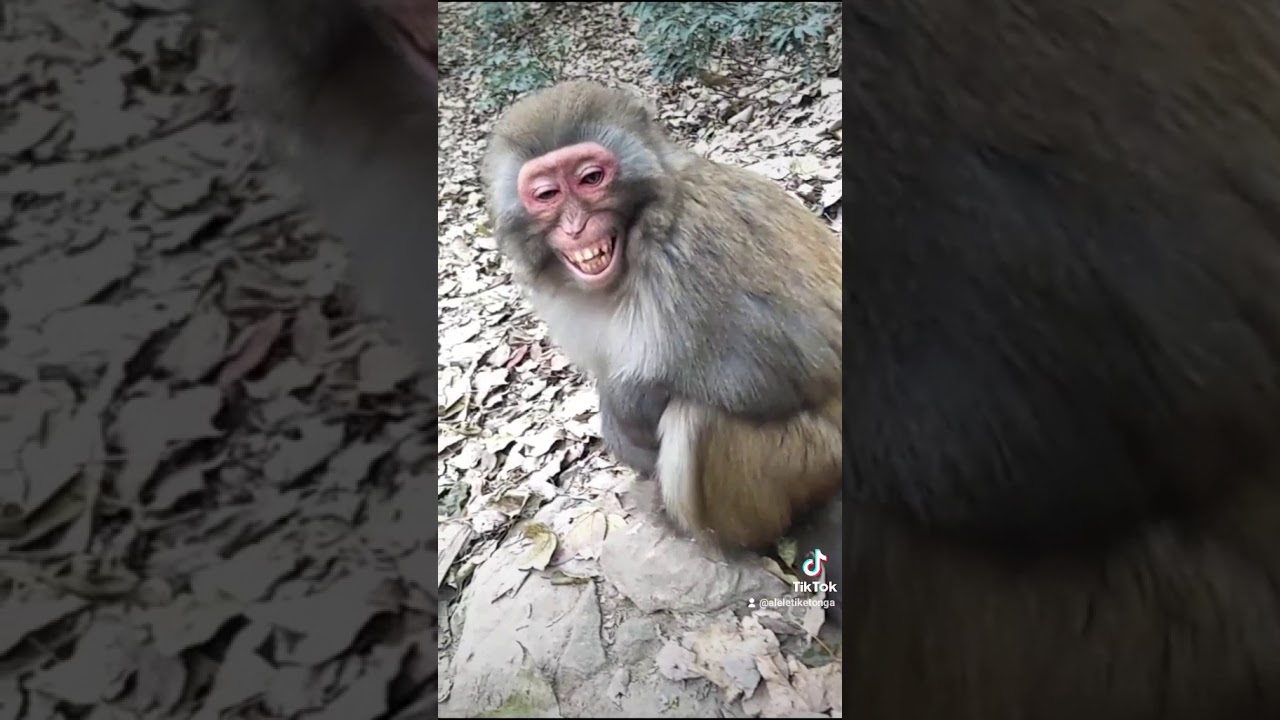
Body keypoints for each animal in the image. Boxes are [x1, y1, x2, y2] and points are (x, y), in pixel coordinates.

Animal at [480, 81, 843, 556]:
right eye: (547, 195)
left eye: (591, 178)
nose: (576, 227)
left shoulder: (693, 249)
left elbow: (782, 369)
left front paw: (625, 404)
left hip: (816, 462)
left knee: (699, 420)